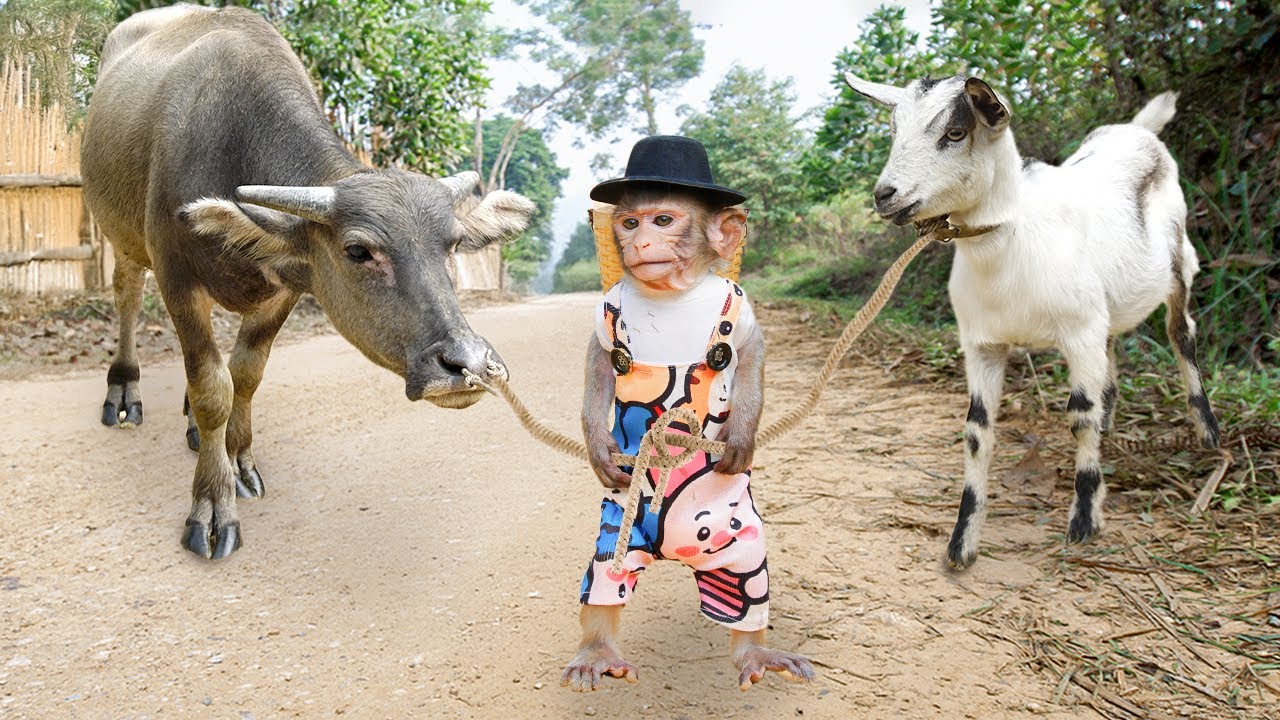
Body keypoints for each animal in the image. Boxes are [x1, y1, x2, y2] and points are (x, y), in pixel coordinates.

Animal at [561, 135, 815, 693]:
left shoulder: (742, 310)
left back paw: (753, 651)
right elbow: (599, 359)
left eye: (663, 220)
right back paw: (597, 649)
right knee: (606, 576)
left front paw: (741, 434)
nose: (639, 243)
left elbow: (752, 354)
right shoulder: (606, 312)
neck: (672, 294)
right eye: (629, 222)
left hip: (738, 540)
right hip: (623, 524)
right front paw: (596, 442)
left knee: (747, 578)